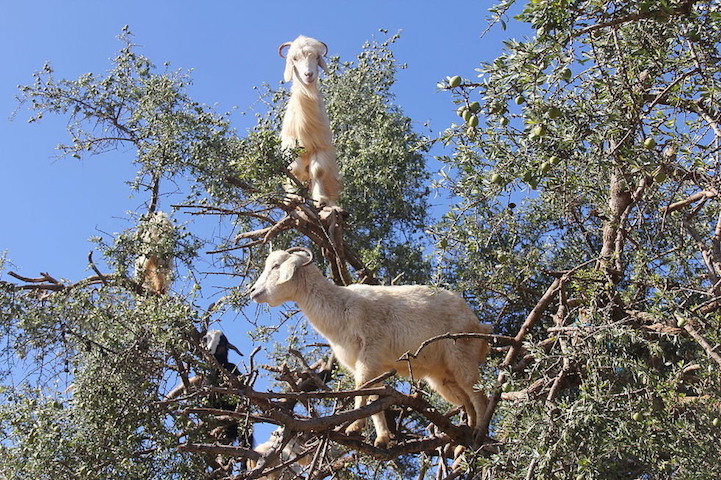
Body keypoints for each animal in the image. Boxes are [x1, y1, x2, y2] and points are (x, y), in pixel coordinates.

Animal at [249, 248, 492, 448]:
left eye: (276, 266)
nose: (253, 291)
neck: (342, 308)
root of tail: (478, 324)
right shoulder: (369, 364)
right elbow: (375, 396)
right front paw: (382, 439)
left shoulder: (370, 352)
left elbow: (362, 387)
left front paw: (354, 427)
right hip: (442, 377)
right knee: (466, 400)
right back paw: (463, 439)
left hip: (462, 354)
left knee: (479, 394)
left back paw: (479, 433)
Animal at [278, 35, 342, 208]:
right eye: (294, 58)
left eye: (317, 57)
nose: (308, 74)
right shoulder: (292, 147)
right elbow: (293, 170)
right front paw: (294, 198)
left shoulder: (320, 146)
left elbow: (318, 171)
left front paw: (320, 200)